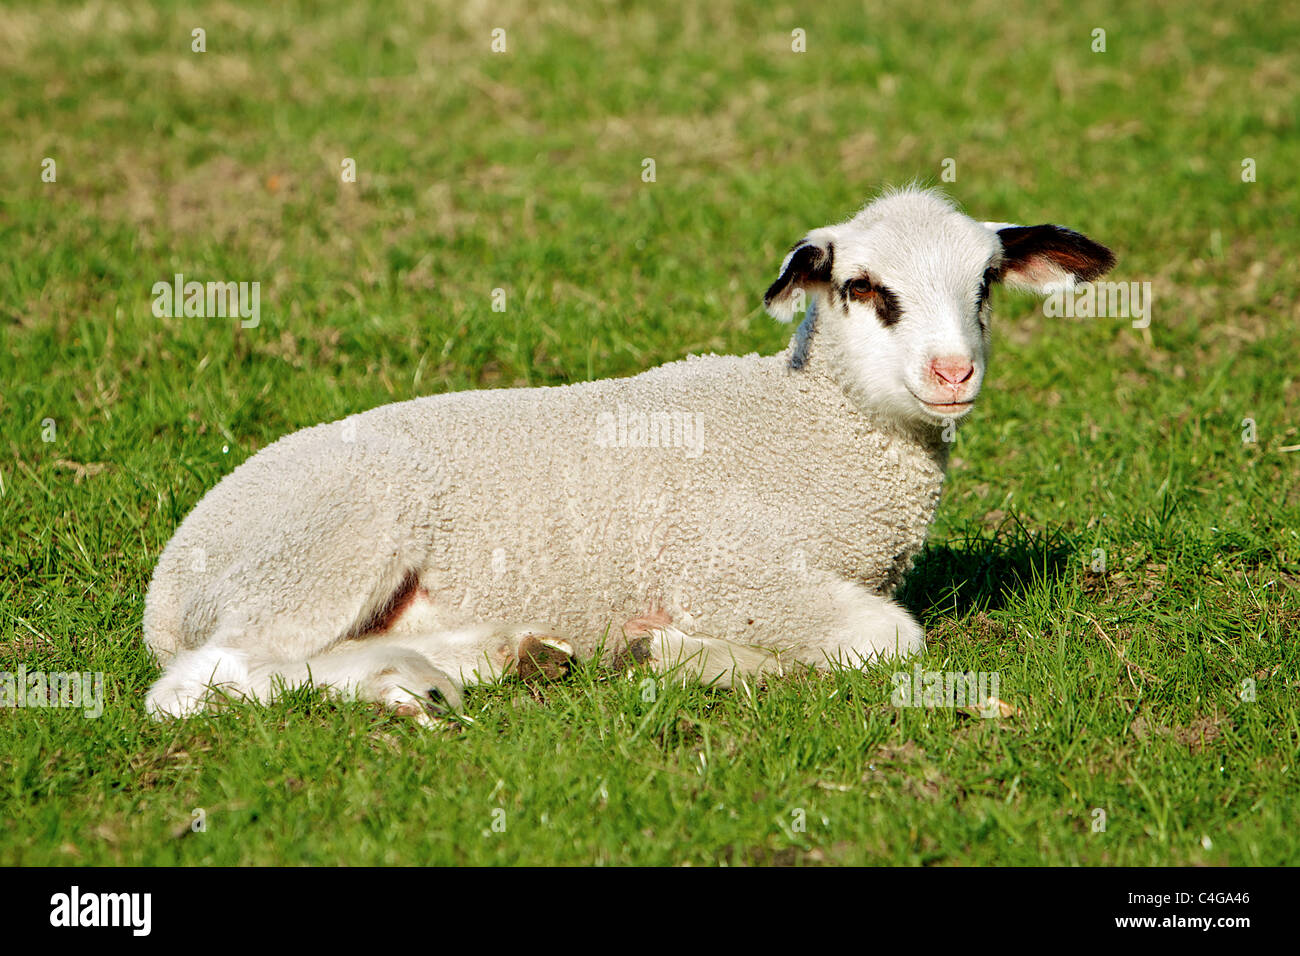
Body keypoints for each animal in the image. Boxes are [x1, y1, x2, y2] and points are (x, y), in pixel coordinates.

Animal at [142, 186, 1114, 720]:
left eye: (986, 283)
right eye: (862, 288)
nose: (953, 373)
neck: (806, 424)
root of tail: (166, 585)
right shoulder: (731, 568)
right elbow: (891, 638)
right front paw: (687, 655)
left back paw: (488, 660)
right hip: (331, 538)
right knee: (202, 683)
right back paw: (403, 688)